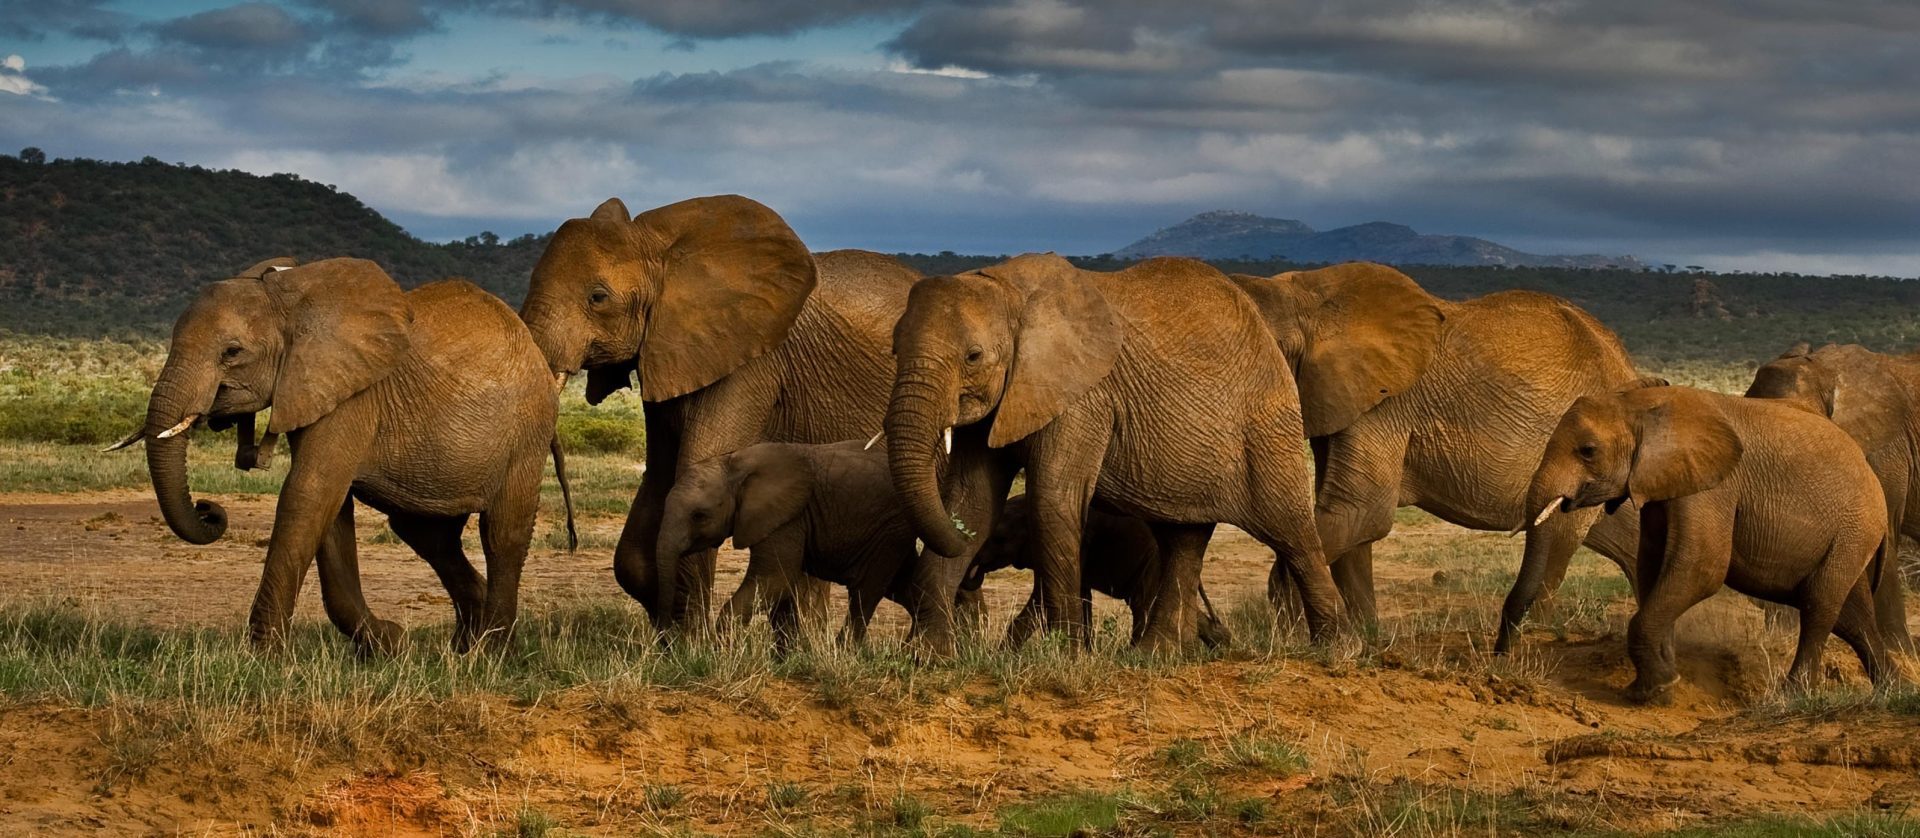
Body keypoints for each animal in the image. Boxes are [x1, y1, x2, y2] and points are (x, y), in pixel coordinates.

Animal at [112, 257, 572, 653]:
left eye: (232, 352)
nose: (209, 509)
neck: (290, 298)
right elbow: (330, 509)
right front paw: (389, 646)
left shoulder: (352, 397)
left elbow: (309, 493)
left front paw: (263, 657)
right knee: (427, 535)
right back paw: (463, 646)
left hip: (526, 433)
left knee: (501, 533)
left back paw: (490, 652)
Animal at [517, 195, 920, 638]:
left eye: (597, 298)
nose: (572, 539)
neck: (662, 250)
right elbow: (655, 493)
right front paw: (670, 636)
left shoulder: (750, 363)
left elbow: (695, 473)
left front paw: (693, 644)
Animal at [956, 494, 1232, 648]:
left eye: (999, 539)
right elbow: (1077, 595)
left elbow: (1045, 595)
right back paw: (1222, 644)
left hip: (1152, 562)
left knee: (1144, 604)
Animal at [1228, 263, 1647, 652]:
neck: (1309, 295)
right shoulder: (1338, 397)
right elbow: (1352, 520)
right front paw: (1367, 641)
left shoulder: (1386, 405)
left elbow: (1363, 511)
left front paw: (1291, 641)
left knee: (1562, 537)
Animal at [1518, 382, 1895, 702]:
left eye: (1588, 451)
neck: (1640, 403)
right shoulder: (1663, 485)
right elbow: (1652, 568)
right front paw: (1656, 681)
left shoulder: (1713, 487)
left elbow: (1701, 568)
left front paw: (1657, 690)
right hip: (1853, 534)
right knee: (1852, 615)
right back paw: (1892, 689)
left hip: (1856, 527)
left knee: (1820, 604)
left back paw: (1792, 696)